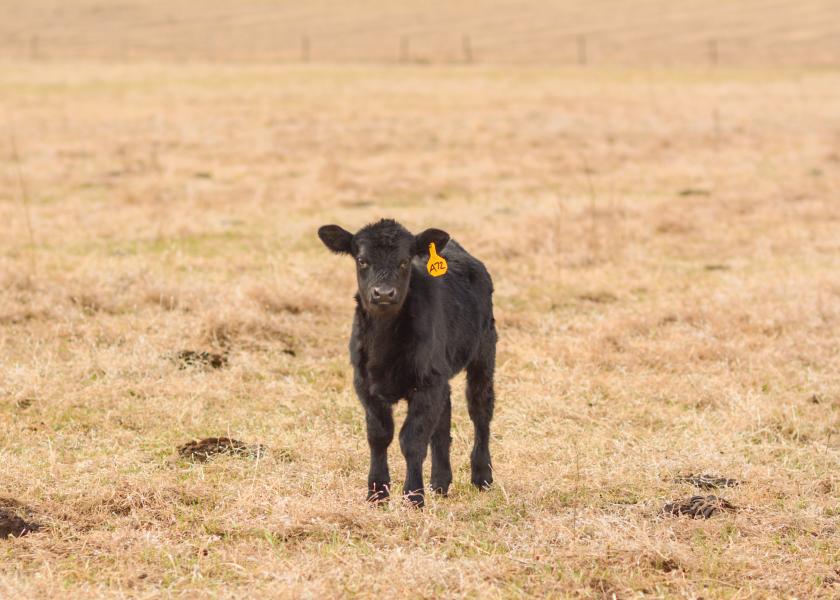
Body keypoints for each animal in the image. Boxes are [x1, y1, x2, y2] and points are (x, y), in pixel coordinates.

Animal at [317, 218, 497, 507]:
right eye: (361, 260)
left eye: (403, 262)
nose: (383, 294)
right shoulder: (365, 383)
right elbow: (379, 436)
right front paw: (377, 493)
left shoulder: (426, 384)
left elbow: (412, 439)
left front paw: (413, 497)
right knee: (444, 416)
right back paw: (440, 482)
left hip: (484, 350)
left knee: (480, 409)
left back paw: (482, 476)